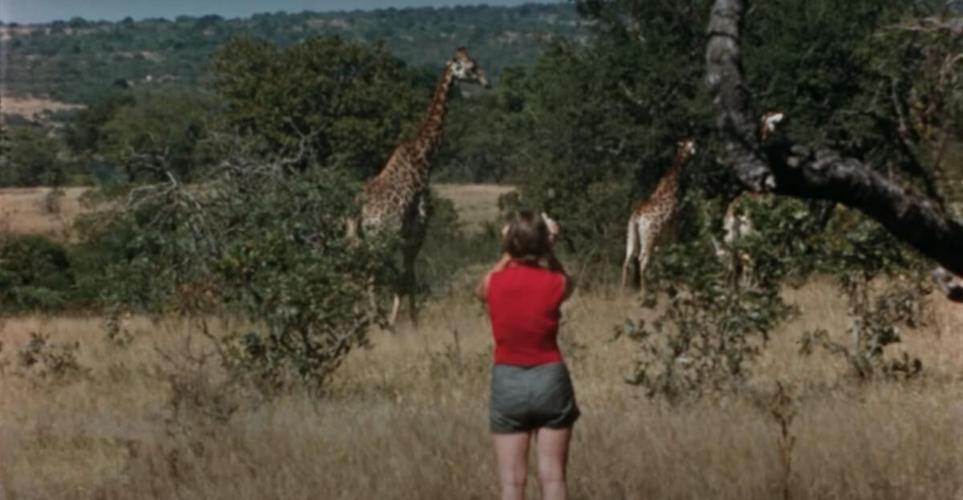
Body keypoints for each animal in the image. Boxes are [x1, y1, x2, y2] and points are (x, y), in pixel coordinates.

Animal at [352, 47, 489, 326]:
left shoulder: (408, 234)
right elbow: (407, 276)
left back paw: (358, 315)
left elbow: (407, 275)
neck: (424, 159)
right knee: (370, 273)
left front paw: (408, 320)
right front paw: (406, 322)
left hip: (356, 238)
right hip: (381, 238)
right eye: (471, 67)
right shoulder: (419, 229)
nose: (486, 81)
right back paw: (375, 318)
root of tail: (361, 212)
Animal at [620, 139, 697, 291]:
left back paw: (622, 292)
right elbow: (671, 251)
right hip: (650, 236)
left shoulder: (662, 237)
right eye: (693, 144)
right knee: (642, 261)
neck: (673, 181)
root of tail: (637, 217)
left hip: (631, 235)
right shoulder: (674, 226)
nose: (694, 153)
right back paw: (644, 292)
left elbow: (661, 259)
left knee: (627, 260)